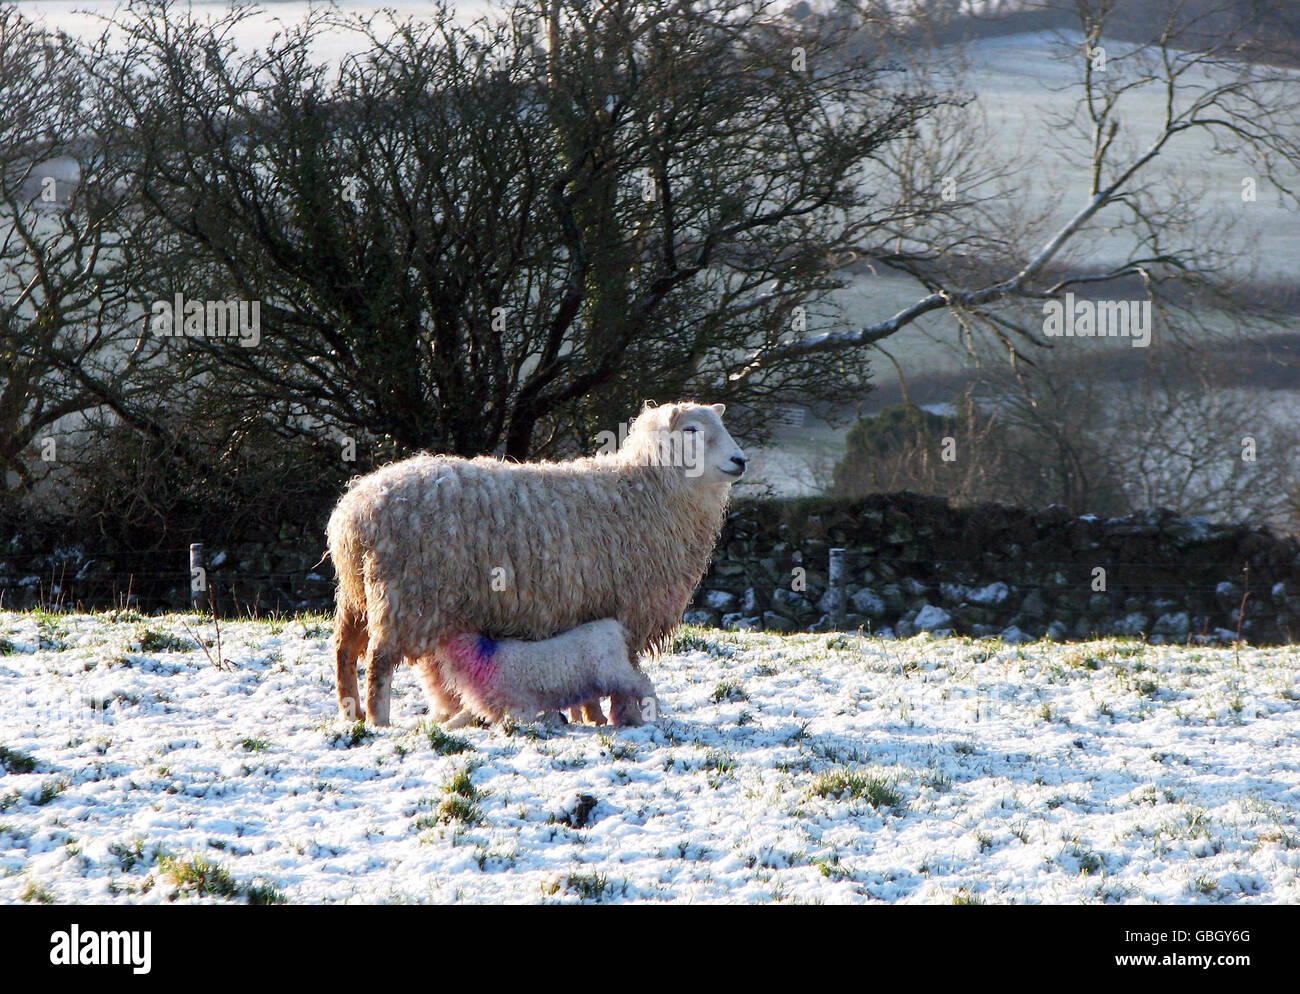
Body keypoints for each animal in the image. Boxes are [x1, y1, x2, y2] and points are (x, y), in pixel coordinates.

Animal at [434, 618, 657, 729]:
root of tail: (613, 627)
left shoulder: (521, 707)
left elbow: (517, 721)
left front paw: (554, 720)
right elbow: (460, 719)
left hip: (613, 672)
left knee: (643, 684)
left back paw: (652, 712)